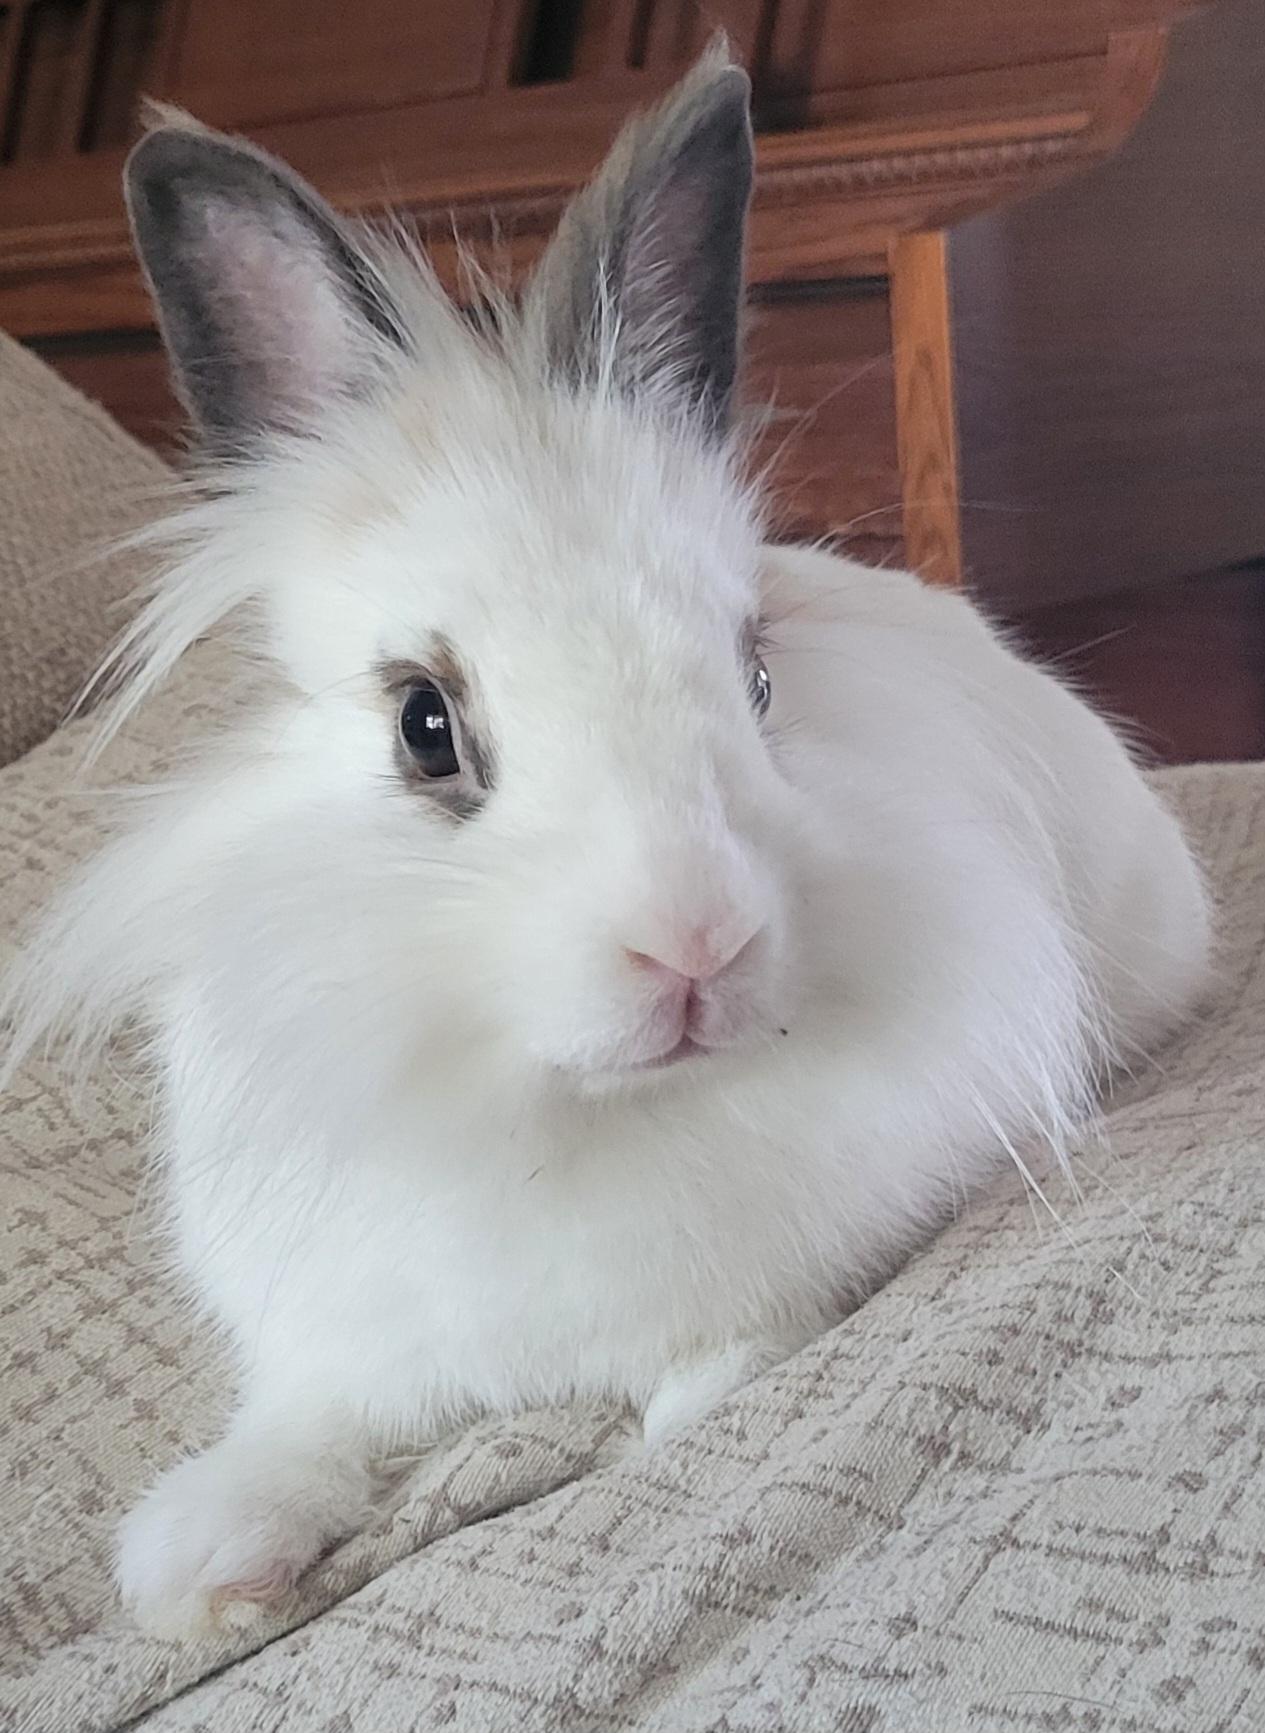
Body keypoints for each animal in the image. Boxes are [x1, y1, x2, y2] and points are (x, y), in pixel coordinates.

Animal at [0, 46, 1211, 1641]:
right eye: (425, 726)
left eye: (754, 677)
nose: (696, 945)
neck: (574, 1115)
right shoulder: (340, 1330)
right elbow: (309, 1423)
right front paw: (200, 1563)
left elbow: (724, 1360)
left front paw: (679, 1409)